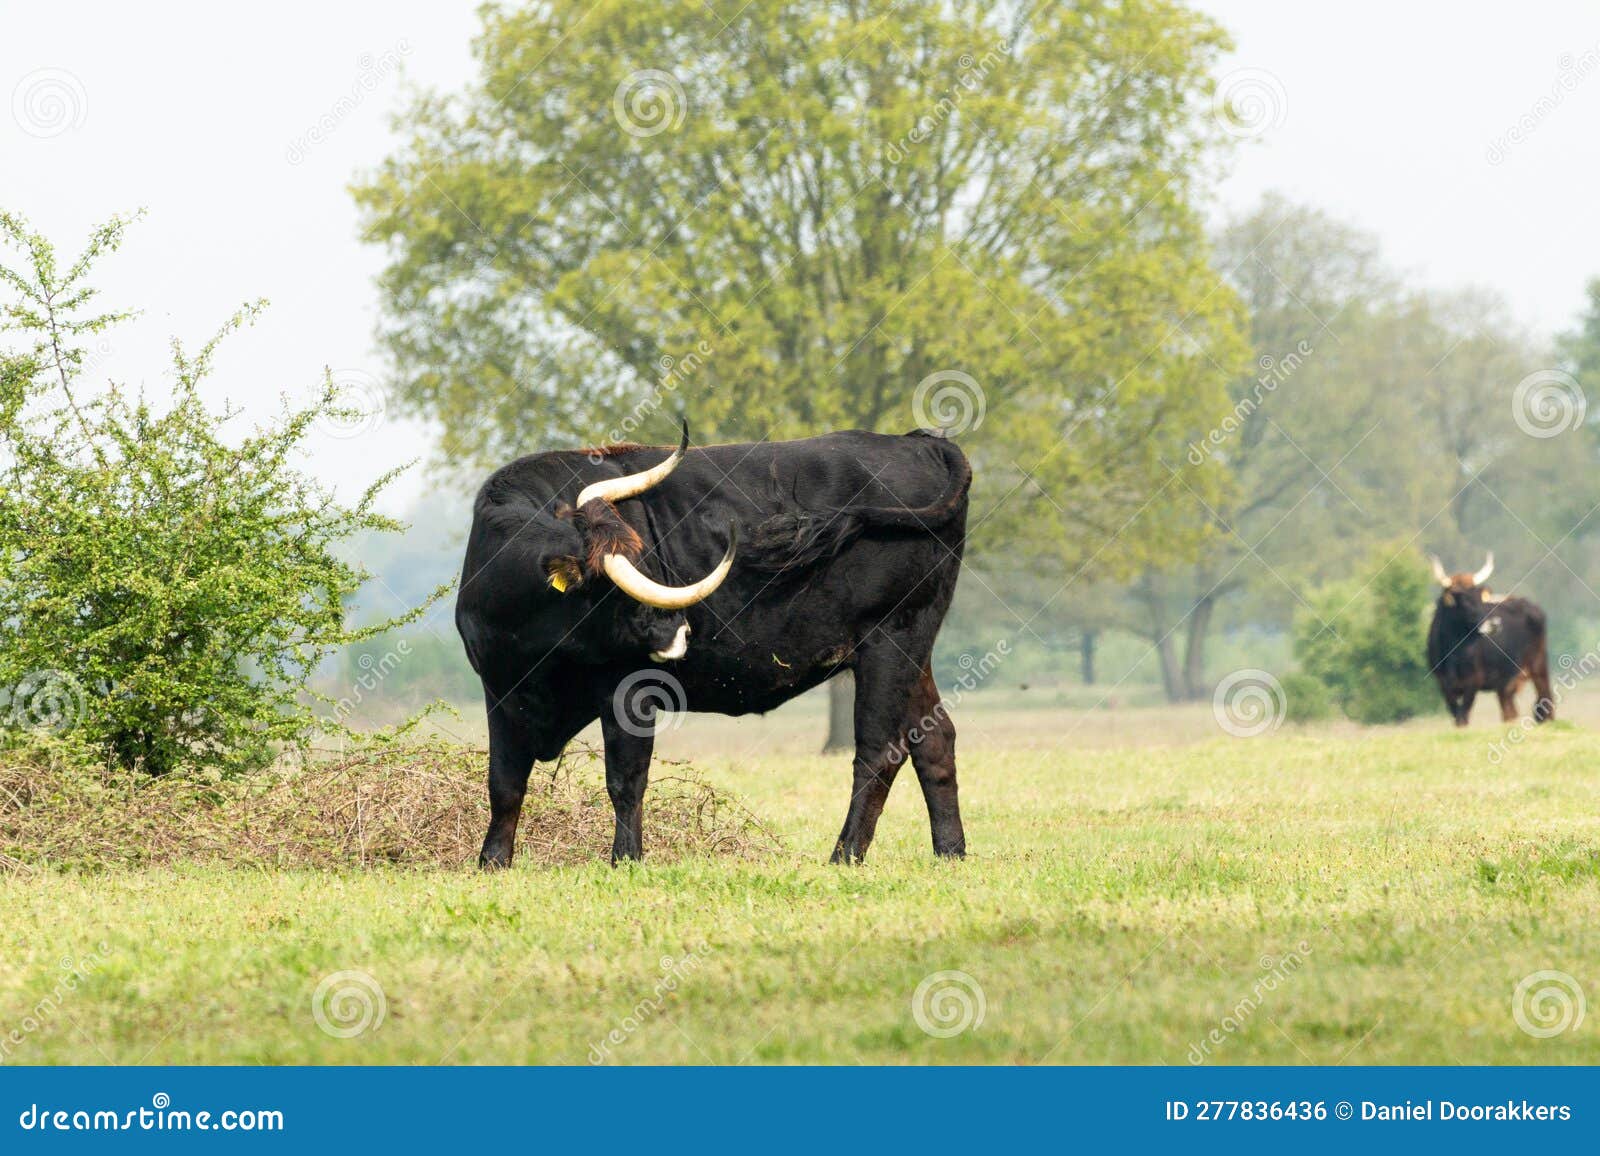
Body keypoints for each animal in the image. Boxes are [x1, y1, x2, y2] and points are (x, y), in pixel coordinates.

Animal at [456, 422, 972, 869]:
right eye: (611, 590)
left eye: (649, 557)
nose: (683, 632)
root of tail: (918, 442)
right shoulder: (498, 692)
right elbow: (504, 781)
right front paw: (492, 862)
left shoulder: (628, 690)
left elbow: (625, 780)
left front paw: (626, 860)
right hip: (912, 649)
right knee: (934, 740)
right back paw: (951, 852)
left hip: (890, 641)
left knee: (878, 752)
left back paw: (844, 856)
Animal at [1425, 553, 1554, 727]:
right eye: (1464, 600)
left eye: (1481, 598)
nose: (1495, 623)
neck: (1454, 653)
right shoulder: (1443, 683)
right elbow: (1456, 713)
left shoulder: (1473, 681)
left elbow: (1463, 714)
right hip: (1506, 682)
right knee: (1509, 712)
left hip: (1538, 665)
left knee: (1545, 698)